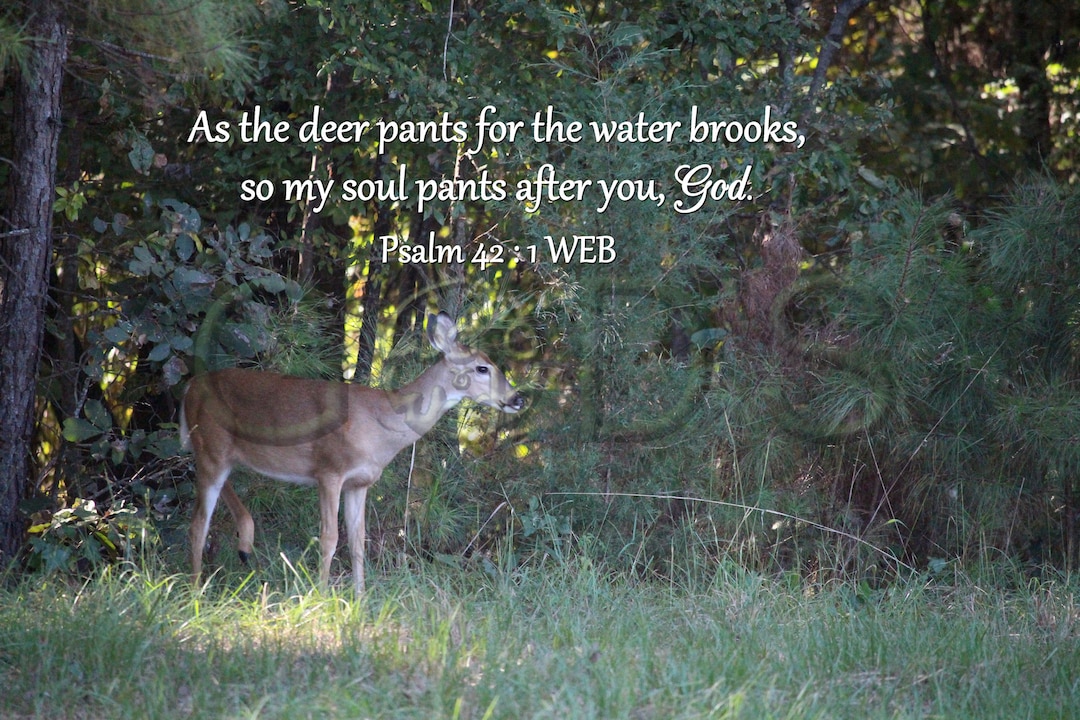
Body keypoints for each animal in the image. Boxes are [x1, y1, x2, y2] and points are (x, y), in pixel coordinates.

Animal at [180, 312, 525, 593]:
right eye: (482, 367)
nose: (517, 398)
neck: (383, 421)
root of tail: (190, 388)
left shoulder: (360, 482)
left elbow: (358, 541)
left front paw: (360, 597)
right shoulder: (329, 469)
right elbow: (329, 538)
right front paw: (320, 596)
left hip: (218, 454)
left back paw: (243, 546)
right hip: (211, 449)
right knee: (197, 524)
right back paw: (196, 592)